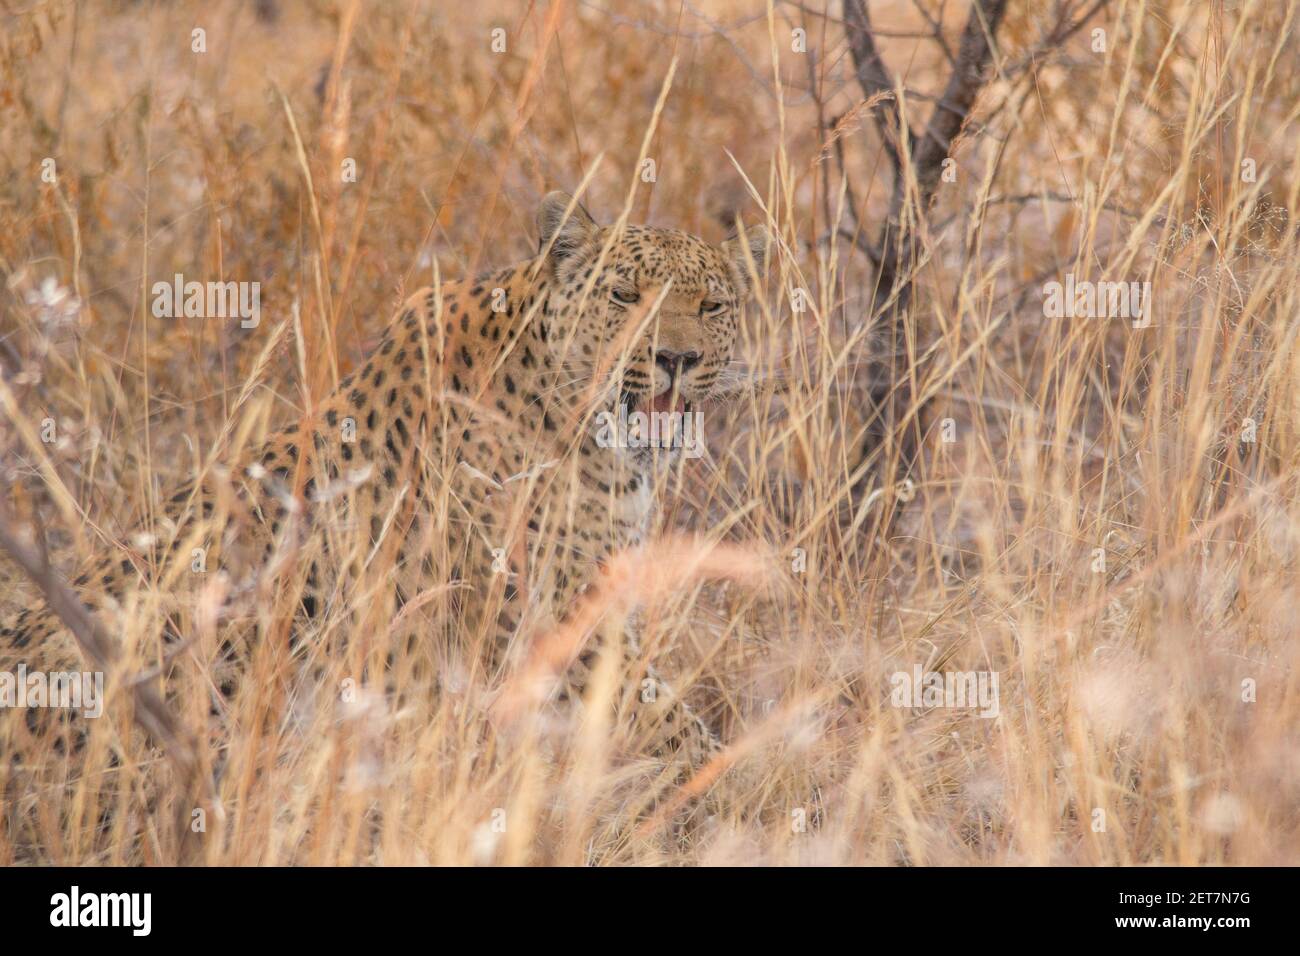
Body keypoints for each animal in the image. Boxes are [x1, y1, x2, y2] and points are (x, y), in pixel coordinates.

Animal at [0, 191, 769, 841]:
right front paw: (742, 789)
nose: (676, 357)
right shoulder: (553, 617)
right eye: (624, 295)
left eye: (711, 305)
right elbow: (671, 723)